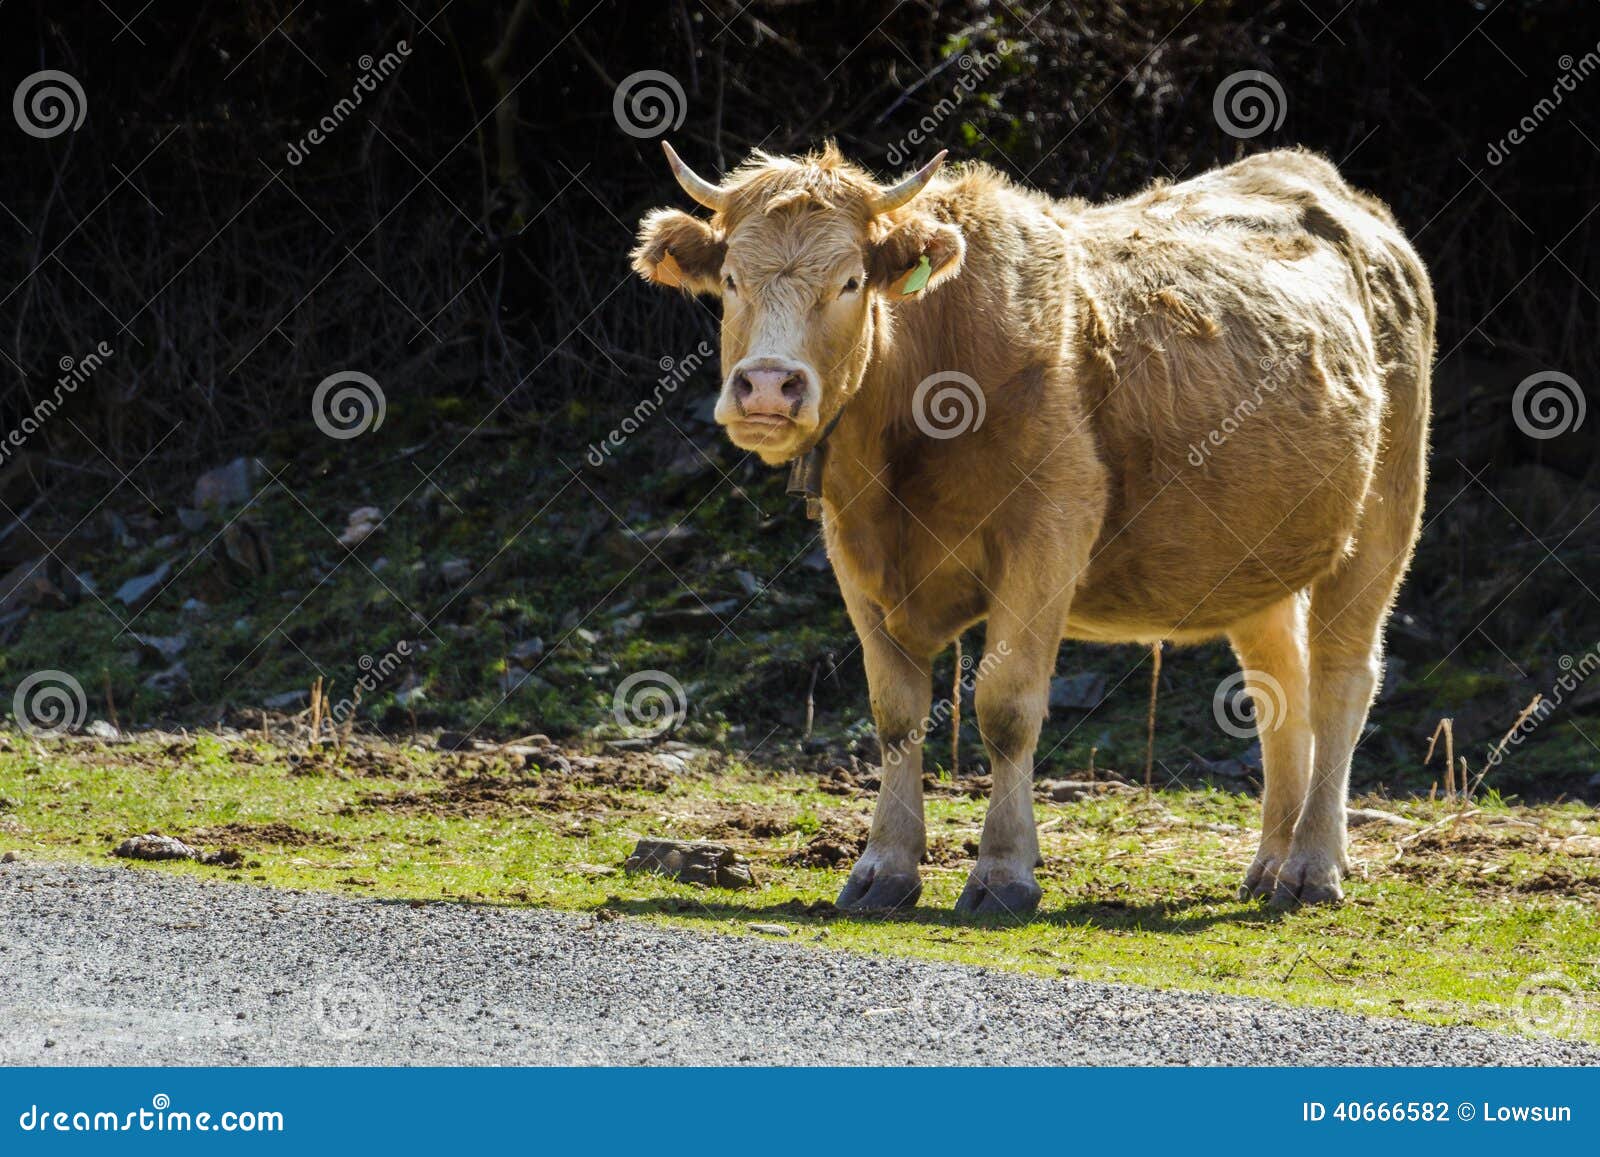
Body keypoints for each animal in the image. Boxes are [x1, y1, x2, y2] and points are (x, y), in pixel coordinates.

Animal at [631, 140, 1432, 915]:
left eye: (851, 281)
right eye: (732, 278)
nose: (768, 386)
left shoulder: (1046, 533)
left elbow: (1006, 707)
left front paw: (1003, 872)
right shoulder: (853, 550)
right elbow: (895, 712)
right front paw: (884, 867)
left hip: (1383, 517)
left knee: (1340, 682)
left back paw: (1311, 867)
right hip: (1257, 561)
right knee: (1278, 690)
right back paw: (1269, 863)